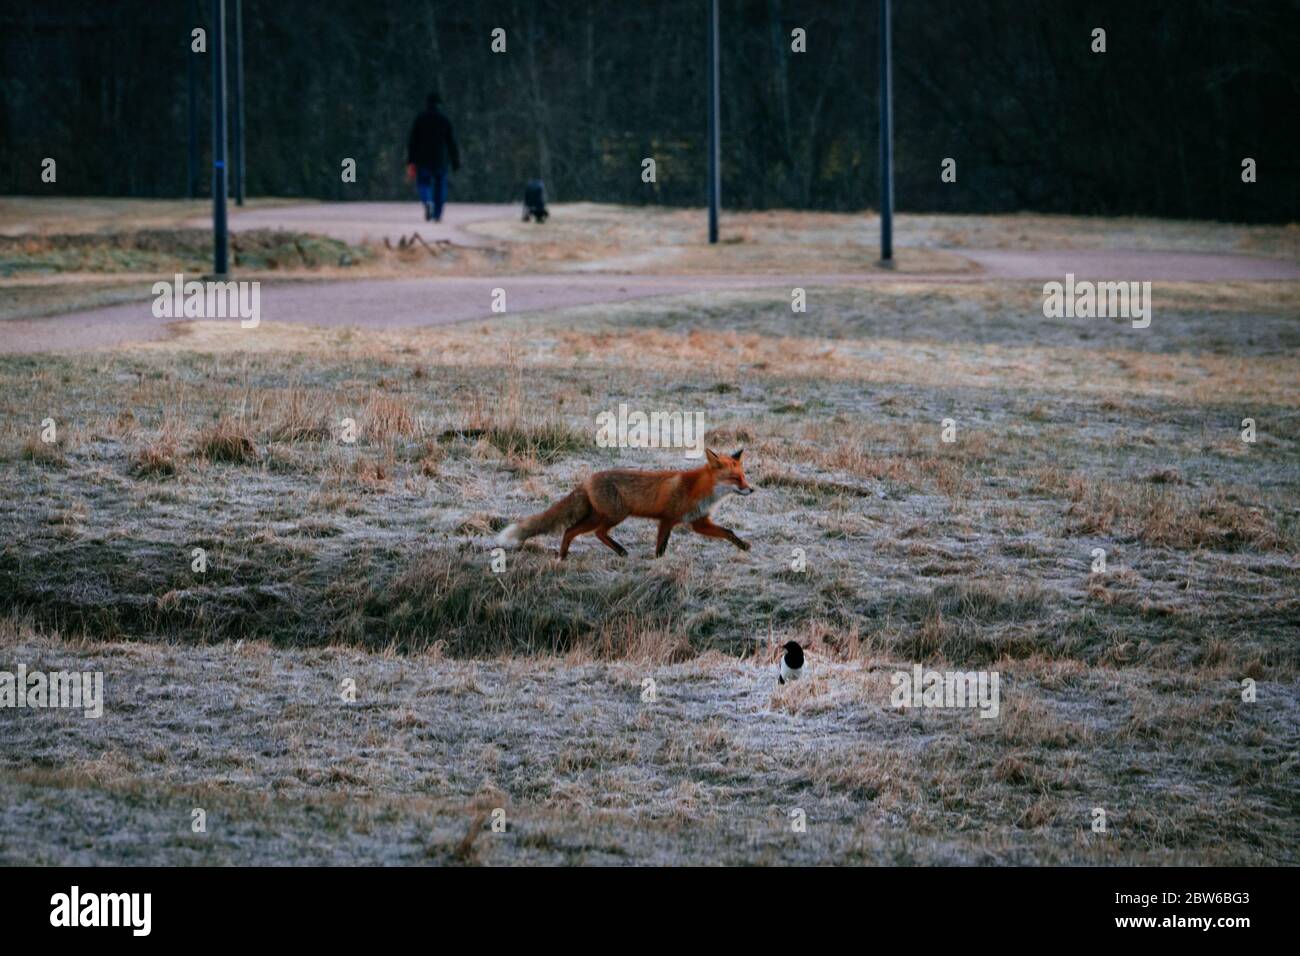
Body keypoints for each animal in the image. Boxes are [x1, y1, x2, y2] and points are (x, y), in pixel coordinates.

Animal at [496, 447, 754, 559]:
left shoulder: (699, 522)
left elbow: (728, 532)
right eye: (735, 479)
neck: (698, 490)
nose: (752, 489)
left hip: (602, 516)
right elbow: (661, 546)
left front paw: (743, 546)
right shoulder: (667, 519)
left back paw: (565, 555)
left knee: (572, 531)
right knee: (592, 532)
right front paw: (658, 562)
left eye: (744, 476)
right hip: (614, 516)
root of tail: (588, 480)